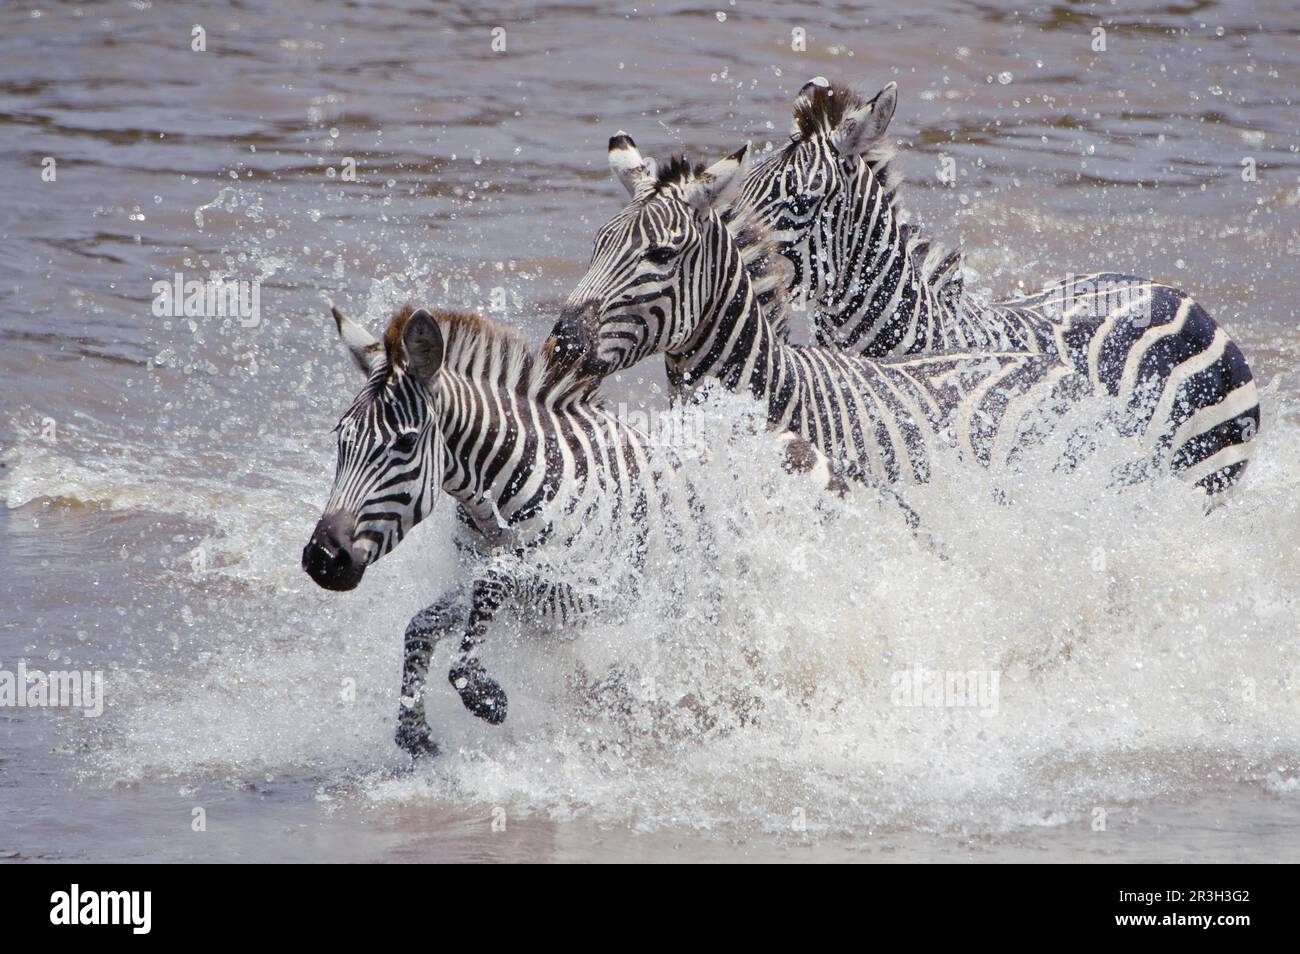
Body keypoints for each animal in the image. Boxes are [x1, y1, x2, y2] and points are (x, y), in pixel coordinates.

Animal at [299, 304, 837, 753]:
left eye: (405, 444)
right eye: (341, 439)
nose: (323, 560)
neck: (497, 506)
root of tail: (796, 441)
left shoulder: (594, 592)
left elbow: (497, 580)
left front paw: (483, 693)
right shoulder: (476, 582)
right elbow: (422, 625)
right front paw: (414, 731)